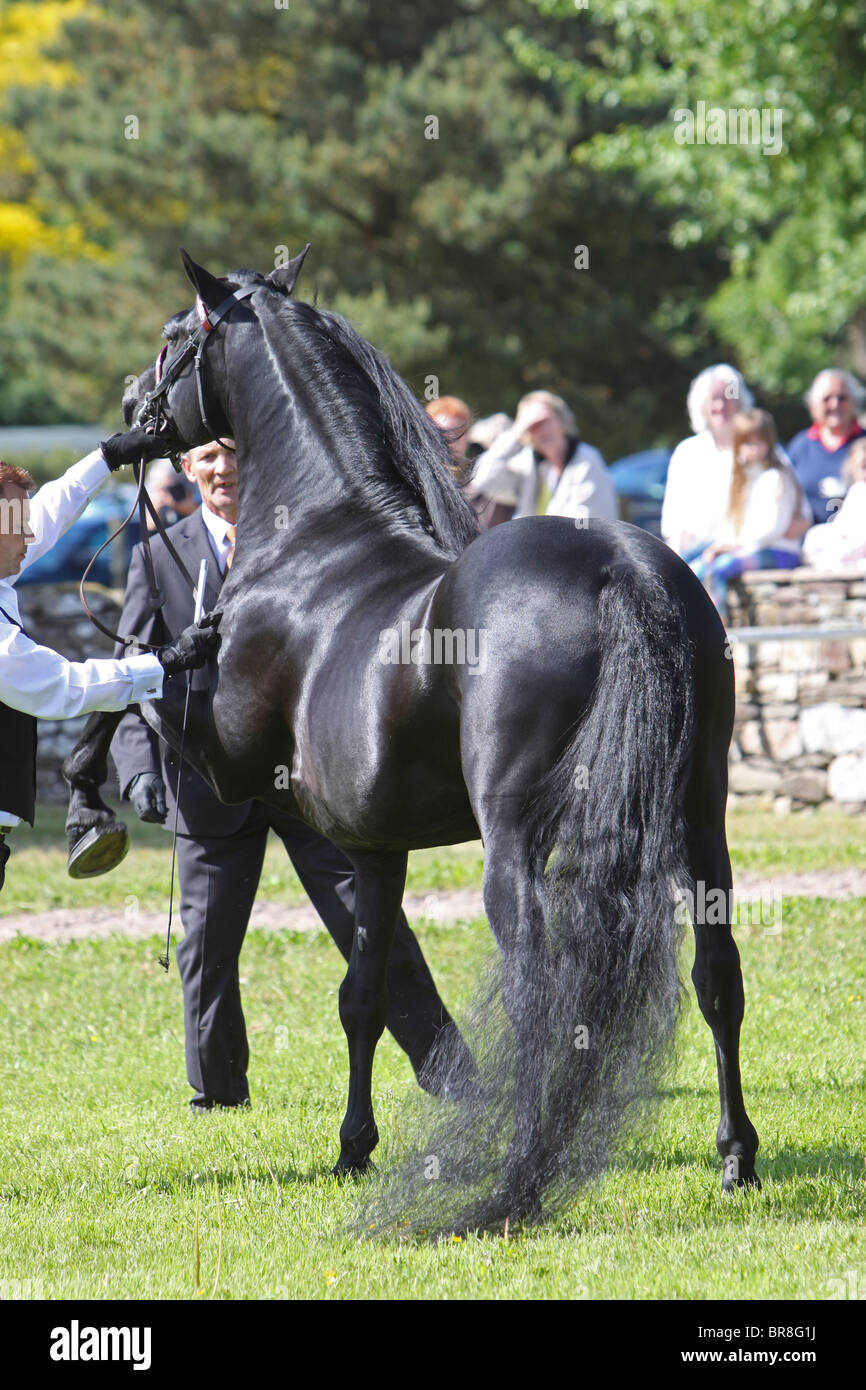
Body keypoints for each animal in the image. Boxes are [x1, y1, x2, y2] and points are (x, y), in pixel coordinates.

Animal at [64, 248, 760, 1232]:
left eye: (172, 339)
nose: (131, 408)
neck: (316, 547)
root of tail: (620, 565)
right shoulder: (374, 845)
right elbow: (364, 994)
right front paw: (353, 1147)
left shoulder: (228, 760)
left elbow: (128, 681)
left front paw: (87, 810)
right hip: (702, 821)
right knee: (718, 978)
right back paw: (736, 1157)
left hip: (517, 844)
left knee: (541, 992)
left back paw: (515, 1181)